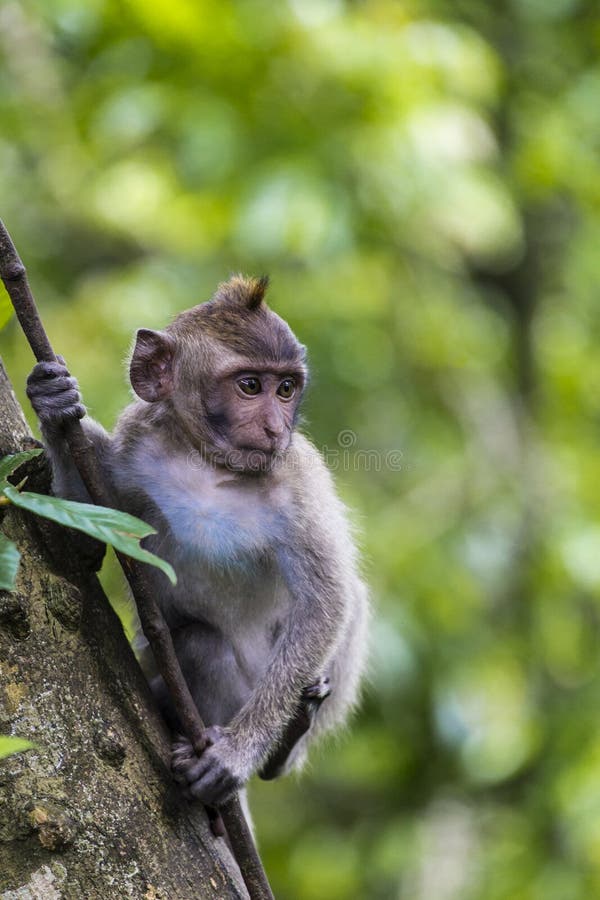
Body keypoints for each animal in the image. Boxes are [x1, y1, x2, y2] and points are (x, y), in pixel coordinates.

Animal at [26, 275, 369, 809]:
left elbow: (328, 601)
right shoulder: (138, 437)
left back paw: (282, 743)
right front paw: (52, 401)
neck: (211, 465)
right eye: (250, 386)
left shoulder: (299, 480)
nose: (275, 427)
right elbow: (82, 542)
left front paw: (236, 755)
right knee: (198, 643)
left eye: (285, 389)